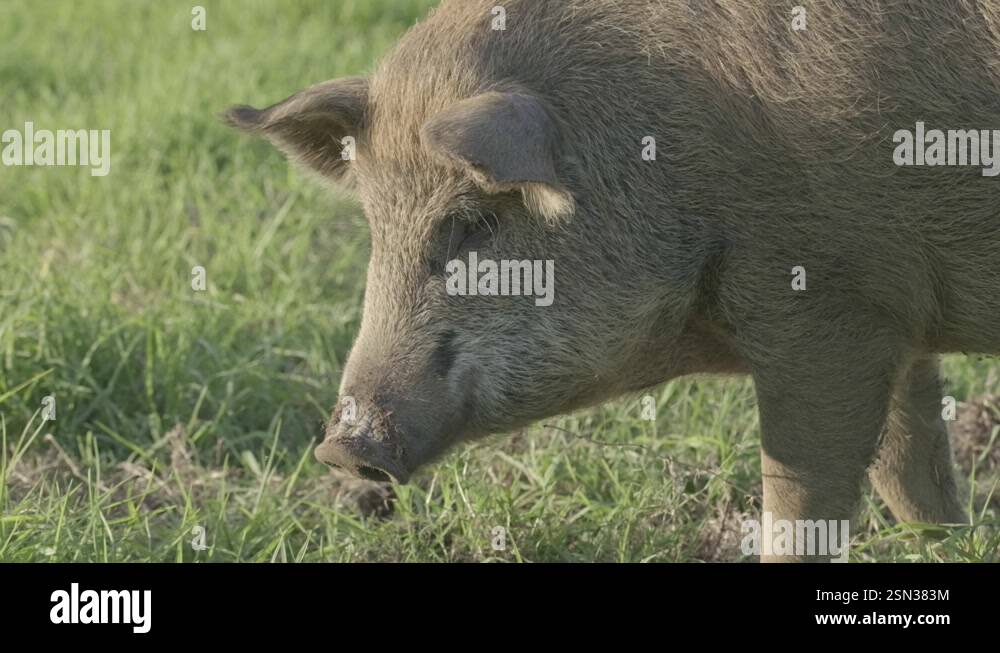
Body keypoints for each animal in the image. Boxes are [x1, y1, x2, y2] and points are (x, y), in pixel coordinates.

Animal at [226, 0, 1000, 560]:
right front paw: (950, 545)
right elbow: (914, 478)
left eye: (475, 220)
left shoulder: (832, 315)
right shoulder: (894, 315)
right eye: (375, 225)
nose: (341, 446)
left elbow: (805, 498)